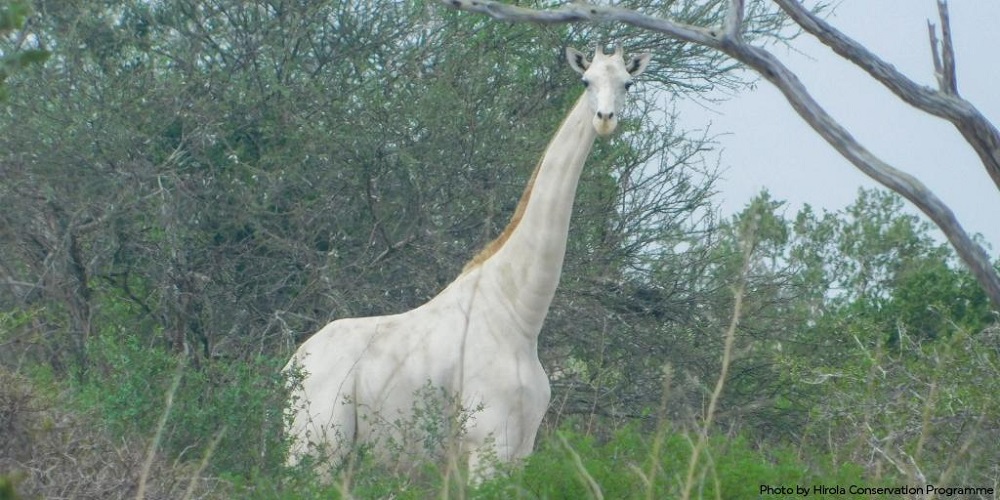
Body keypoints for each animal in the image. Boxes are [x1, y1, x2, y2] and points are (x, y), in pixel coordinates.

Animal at [284, 44, 651, 480]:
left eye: (627, 84)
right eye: (585, 81)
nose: (605, 120)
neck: (520, 315)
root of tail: (289, 368)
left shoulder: (521, 448)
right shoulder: (488, 443)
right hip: (317, 446)